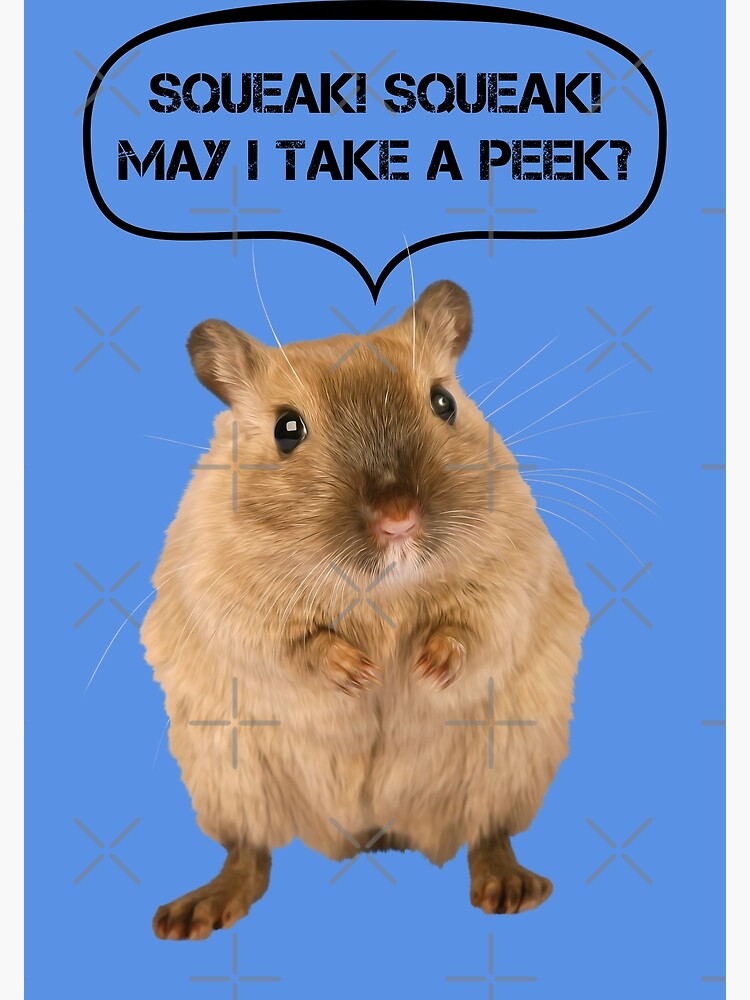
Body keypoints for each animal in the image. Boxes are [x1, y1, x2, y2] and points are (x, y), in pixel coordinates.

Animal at [142, 281, 587, 940]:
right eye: (287, 429)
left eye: (444, 402)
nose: (399, 520)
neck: (382, 590)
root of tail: (371, 831)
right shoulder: (223, 595)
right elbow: (290, 645)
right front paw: (360, 674)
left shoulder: (514, 570)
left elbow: (474, 625)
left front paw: (425, 667)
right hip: (229, 777)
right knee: (249, 852)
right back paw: (192, 914)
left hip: (508, 762)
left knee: (489, 833)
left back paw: (510, 889)